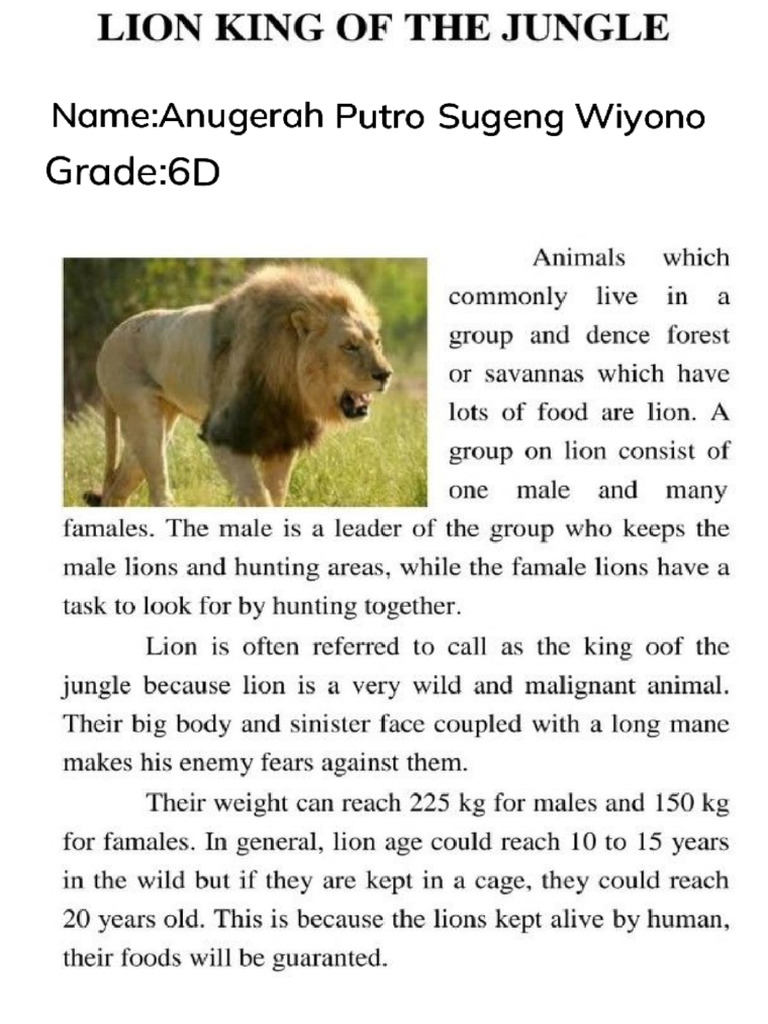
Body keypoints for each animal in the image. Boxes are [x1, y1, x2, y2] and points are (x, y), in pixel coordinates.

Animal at [84, 264, 393, 507]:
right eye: (350, 347)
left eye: (377, 342)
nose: (385, 374)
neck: (291, 385)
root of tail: (109, 338)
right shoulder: (222, 435)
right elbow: (257, 496)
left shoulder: (281, 440)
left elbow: (276, 496)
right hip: (143, 417)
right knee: (158, 489)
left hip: (159, 421)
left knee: (117, 487)